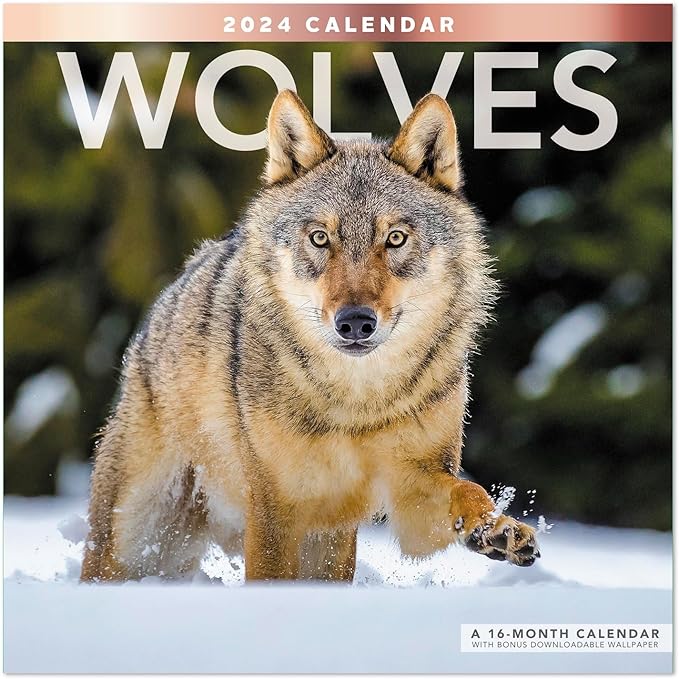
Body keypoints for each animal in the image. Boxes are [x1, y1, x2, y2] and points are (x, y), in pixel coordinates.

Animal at [80, 90, 539, 582]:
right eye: (320, 238)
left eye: (395, 238)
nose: (355, 322)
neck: (357, 406)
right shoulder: (274, 509)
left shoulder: (414, 495)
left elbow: (469, 490)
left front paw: (497, 528)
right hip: (133, 543)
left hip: (325, 543)